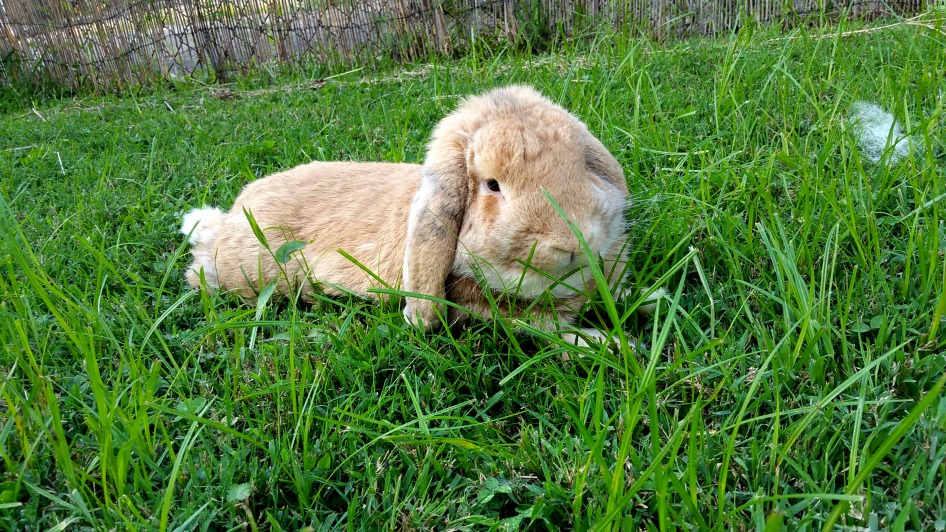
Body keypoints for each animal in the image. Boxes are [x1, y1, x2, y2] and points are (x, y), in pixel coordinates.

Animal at [181, 85, 648, 347]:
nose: (572, 242)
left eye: (582, 163)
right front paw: (606, 344)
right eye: (492, 185)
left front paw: (642, 299)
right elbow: (543, 330)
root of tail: (236, 211)